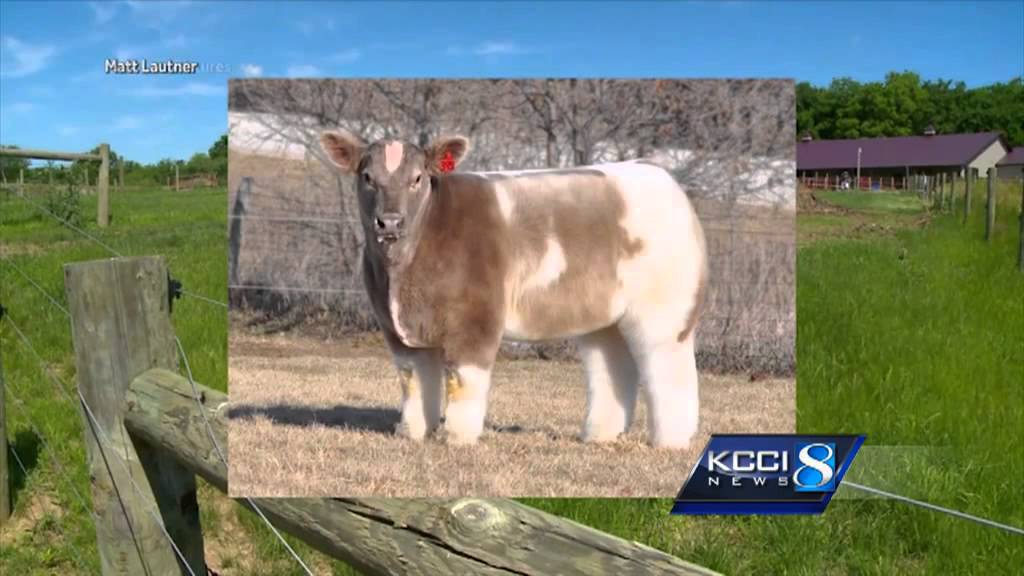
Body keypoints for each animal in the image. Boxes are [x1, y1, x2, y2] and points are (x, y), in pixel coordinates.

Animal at [319, 129, 708, 449]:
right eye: (367, 177)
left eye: (417, 178)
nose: (389, 222)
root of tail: (661, 176)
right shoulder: (396, 329)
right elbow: (413, 382)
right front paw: (413, 432)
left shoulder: (476, 319)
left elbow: (463, 380)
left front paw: (458, 438)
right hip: (605, 317)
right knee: (610, 367)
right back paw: (599, 435)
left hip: (664, 312)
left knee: (667, 369)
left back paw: (671, 440)